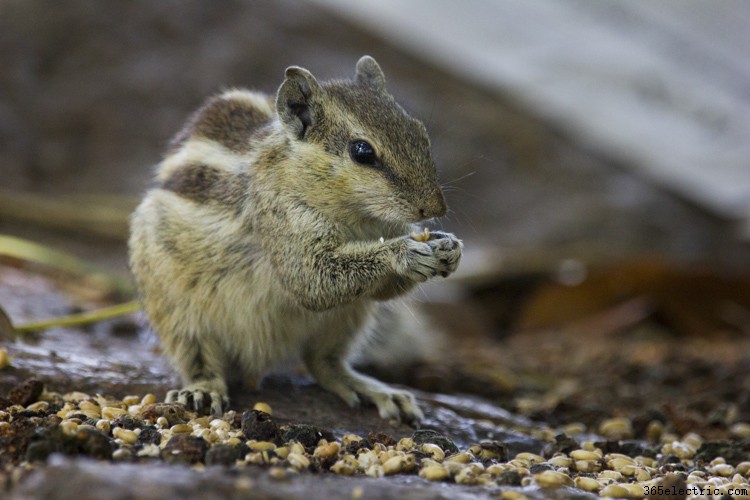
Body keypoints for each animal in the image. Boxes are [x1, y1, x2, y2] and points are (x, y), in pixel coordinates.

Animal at [129, 56, 464, 424]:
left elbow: (380, 289)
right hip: (177, 311)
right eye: (362, 151)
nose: (436, 208)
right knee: (199, 359)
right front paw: (404, 253)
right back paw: (201, 390)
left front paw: (448, 248)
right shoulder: (282, 223)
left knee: (323, 363)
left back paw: (371, 388)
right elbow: (311, 280)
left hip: (348, 318)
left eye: (420, 133)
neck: (356, 218)